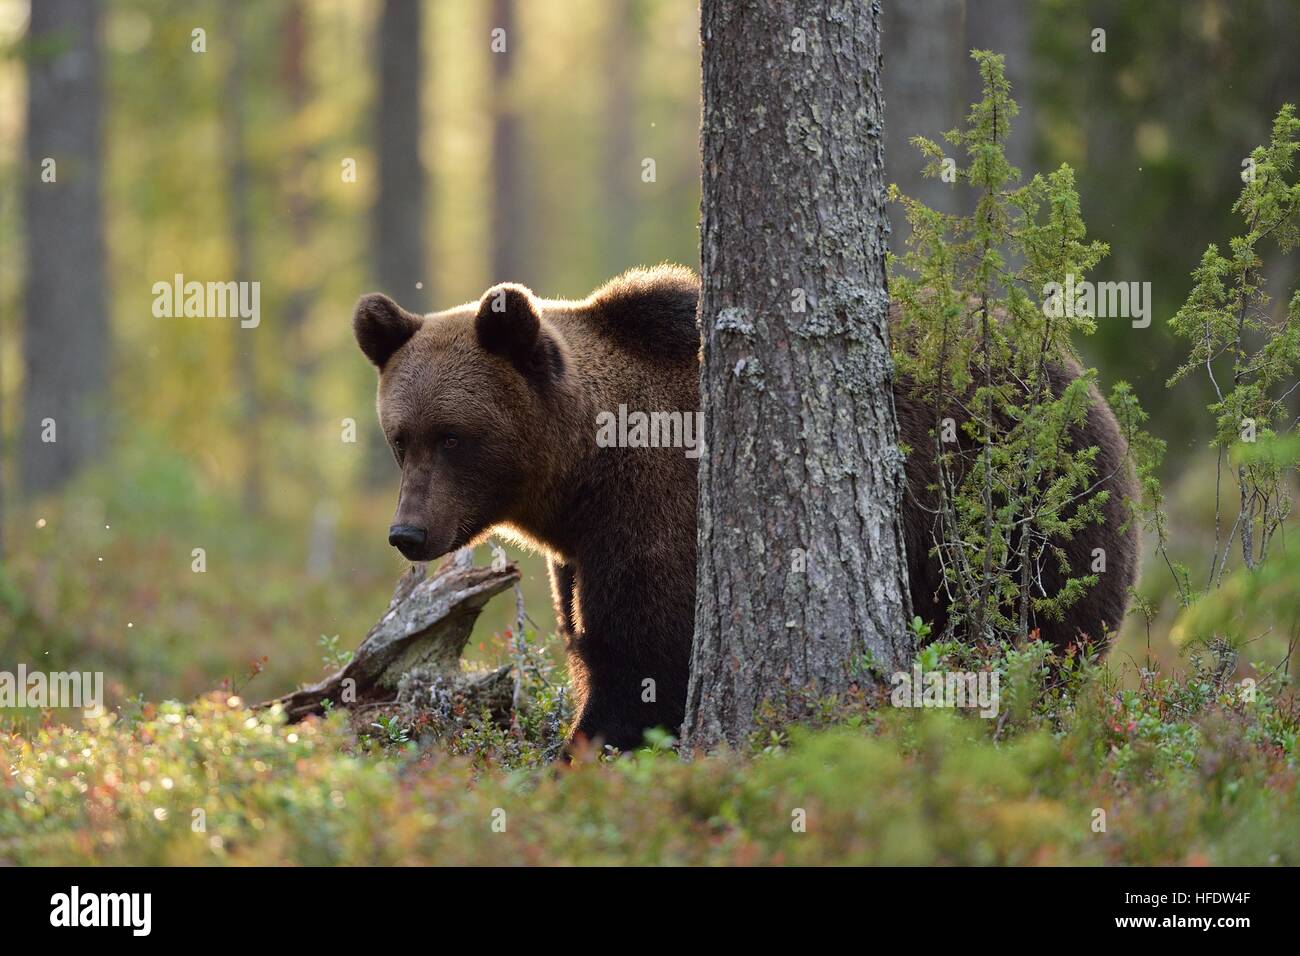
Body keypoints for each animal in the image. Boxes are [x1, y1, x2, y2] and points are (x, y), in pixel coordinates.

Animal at [353, 264, 1139, 752]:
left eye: (454, 436)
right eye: (401, 437)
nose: (407, 532)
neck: (584, 479)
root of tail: (1082, 378)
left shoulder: (658, 516)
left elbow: (643, 666)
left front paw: (589, 752)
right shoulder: (582, 555)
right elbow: (594, 646)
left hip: (1020, 508)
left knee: (1036, 623)